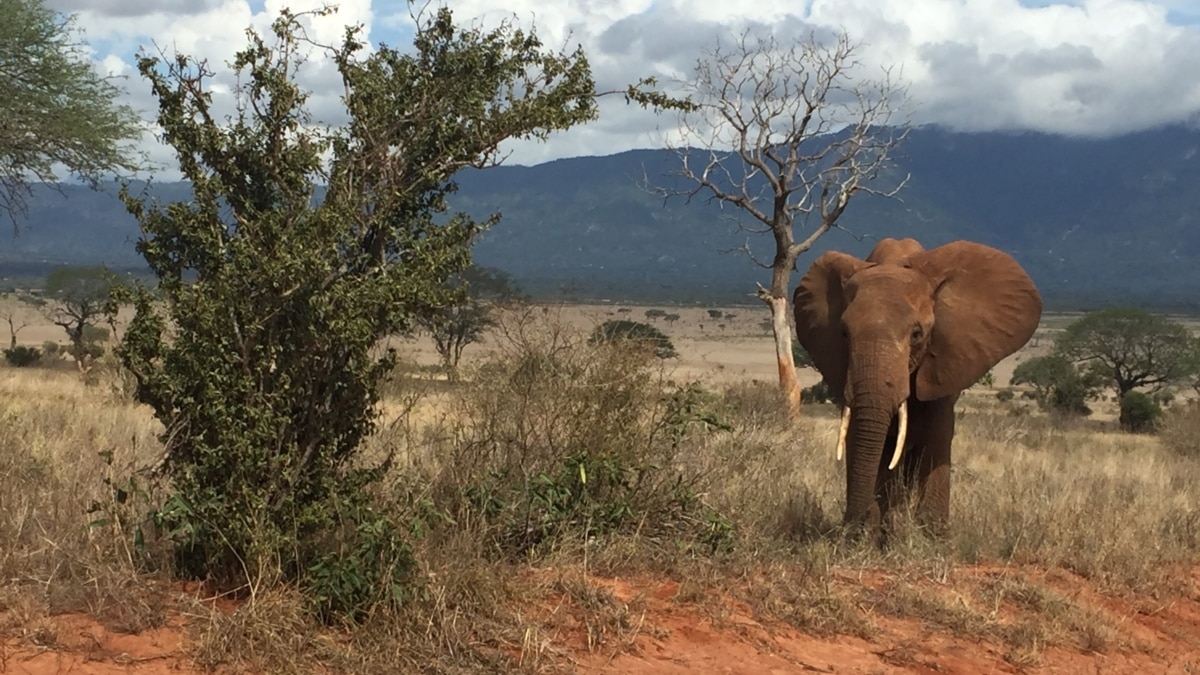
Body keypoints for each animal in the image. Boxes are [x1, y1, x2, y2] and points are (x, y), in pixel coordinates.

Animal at [793, 237, 1042, 537]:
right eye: (843, 333)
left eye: (916, 334)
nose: (849, 529)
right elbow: (861, 438)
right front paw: (871, 535)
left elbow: (936, 437)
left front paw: (932, 537)